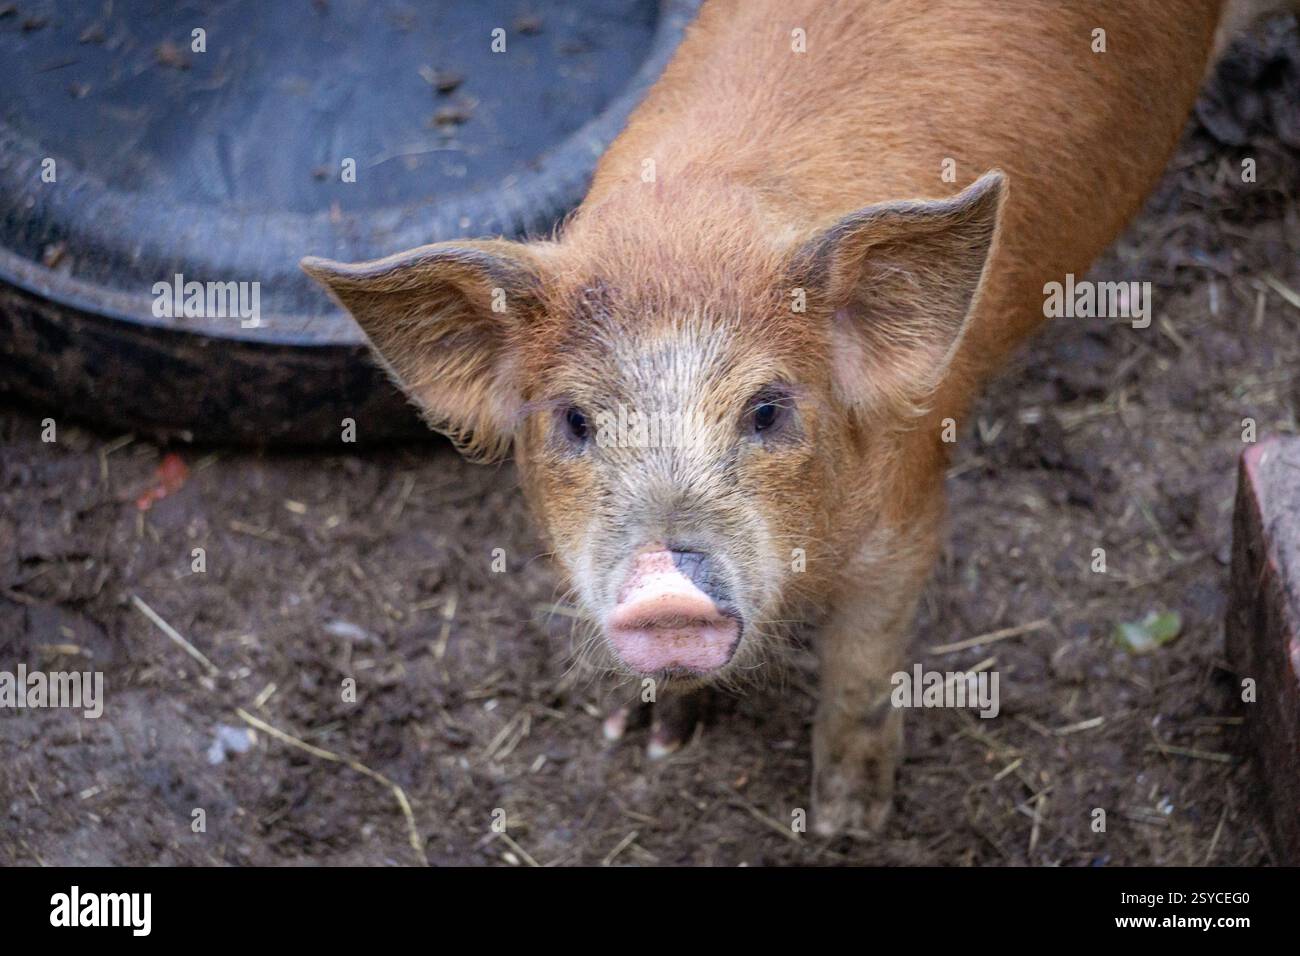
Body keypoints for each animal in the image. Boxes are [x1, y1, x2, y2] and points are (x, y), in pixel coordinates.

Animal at [304, 0, 1226, 834]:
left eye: (768, 409)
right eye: (573, 421)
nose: (665, 590)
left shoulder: (910, 510)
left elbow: (864, 661)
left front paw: (848, 824)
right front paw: (646, 738)